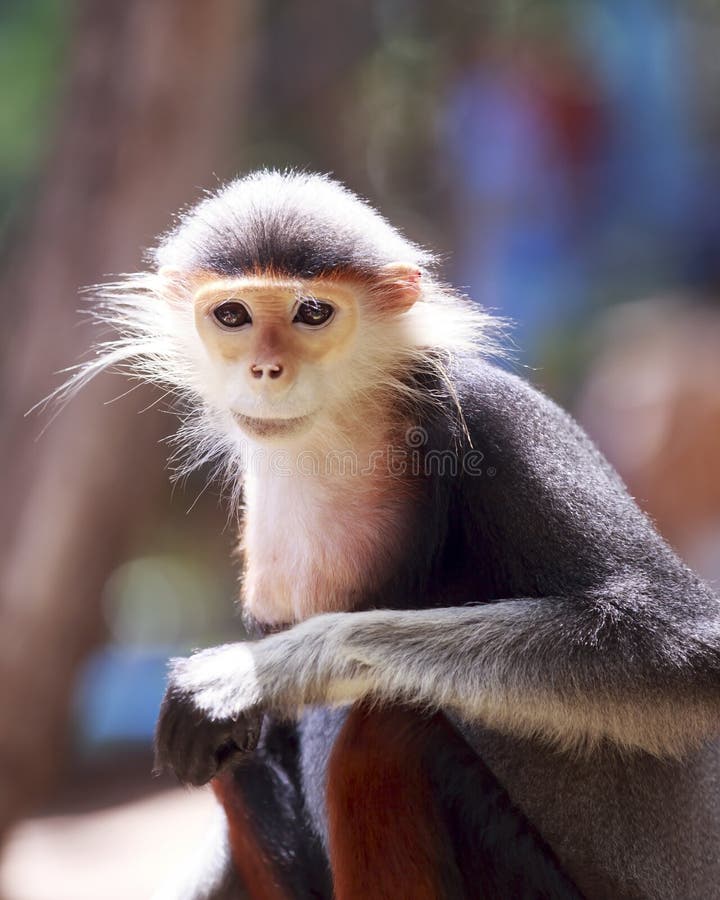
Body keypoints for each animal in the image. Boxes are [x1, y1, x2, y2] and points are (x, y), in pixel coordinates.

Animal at [64, 170, 720, 899]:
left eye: (312, 313)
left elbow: (677, 641)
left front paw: (276, 666)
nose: (267, 370)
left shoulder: (491, 417)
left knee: (387, 729)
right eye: (233, 316)